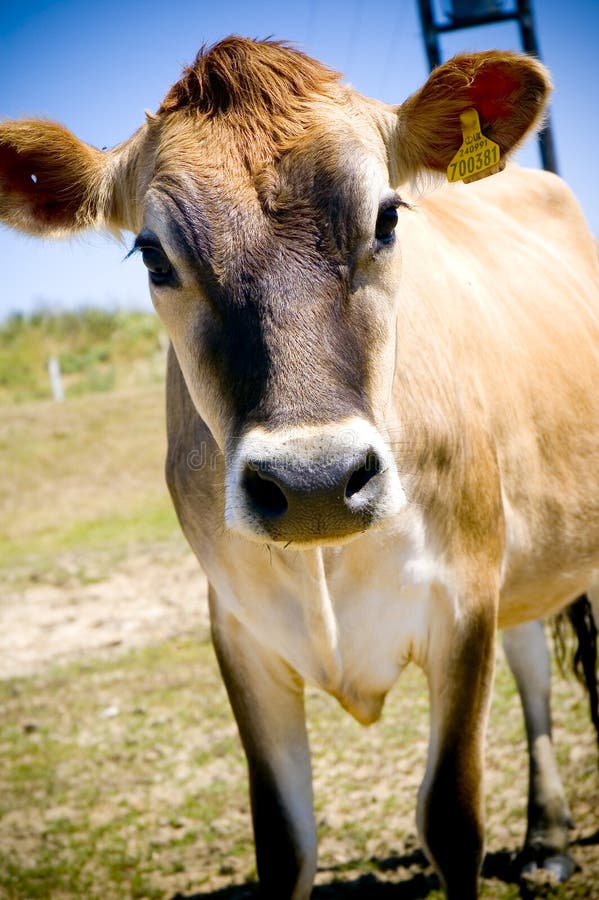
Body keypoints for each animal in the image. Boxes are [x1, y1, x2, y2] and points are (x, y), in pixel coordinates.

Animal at [1, 37, 598, 900]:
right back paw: (546, 839)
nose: (313, 482)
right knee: (532, 663)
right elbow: (284, 843)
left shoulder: (461, 602)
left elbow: (452, 821)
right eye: (153, 254)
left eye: (387, 216)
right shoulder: (240, 631)